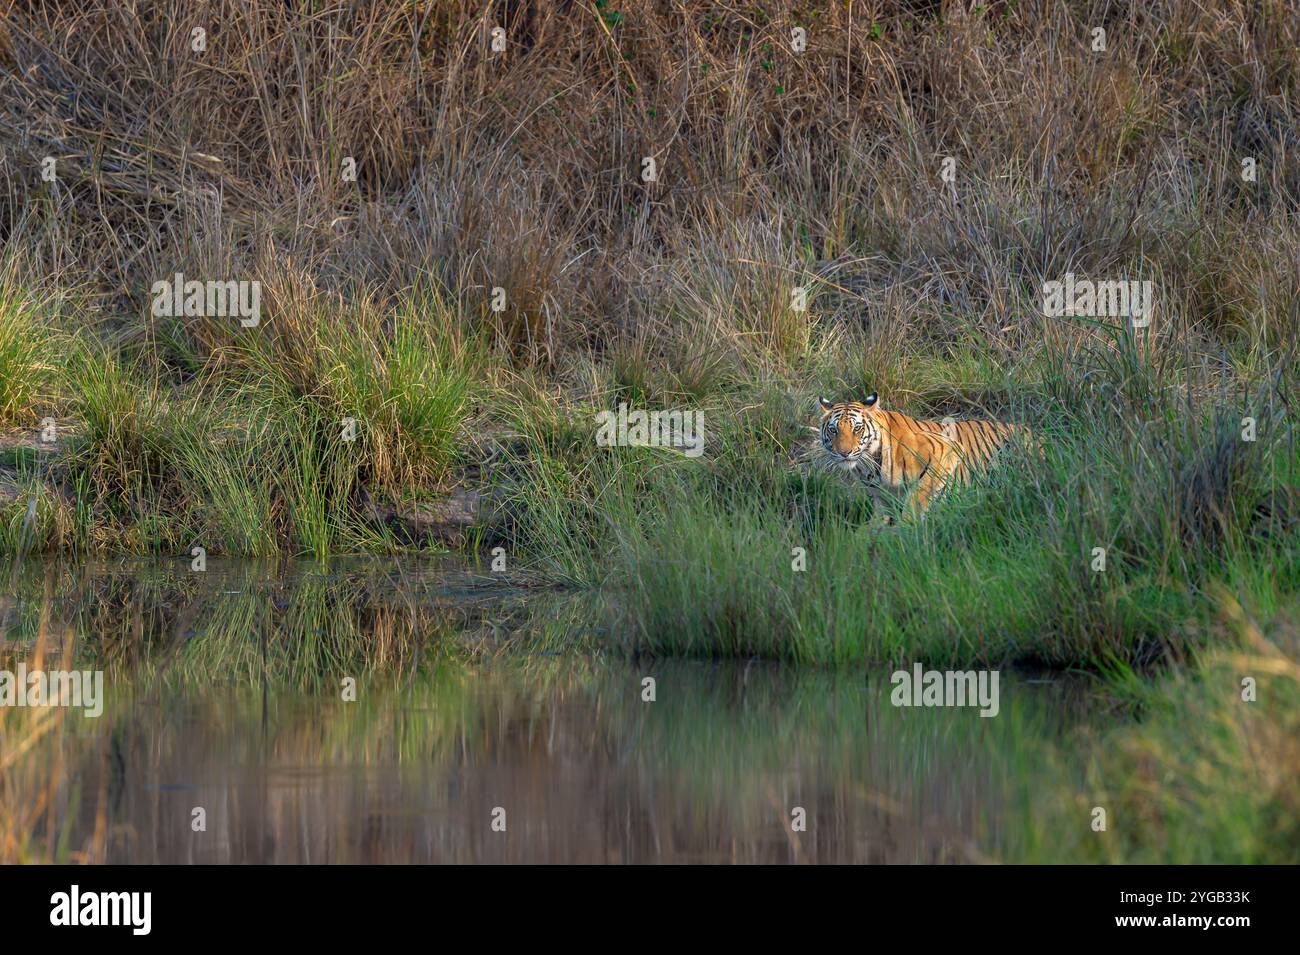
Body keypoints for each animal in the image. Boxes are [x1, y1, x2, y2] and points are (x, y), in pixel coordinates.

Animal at [817, 393, 1038, 521]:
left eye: (857, 428)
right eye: (834, 430)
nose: (844, 452)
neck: (869, 467)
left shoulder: (946, 448)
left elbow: (918, 498)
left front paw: (907, 529)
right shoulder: (882, 501)